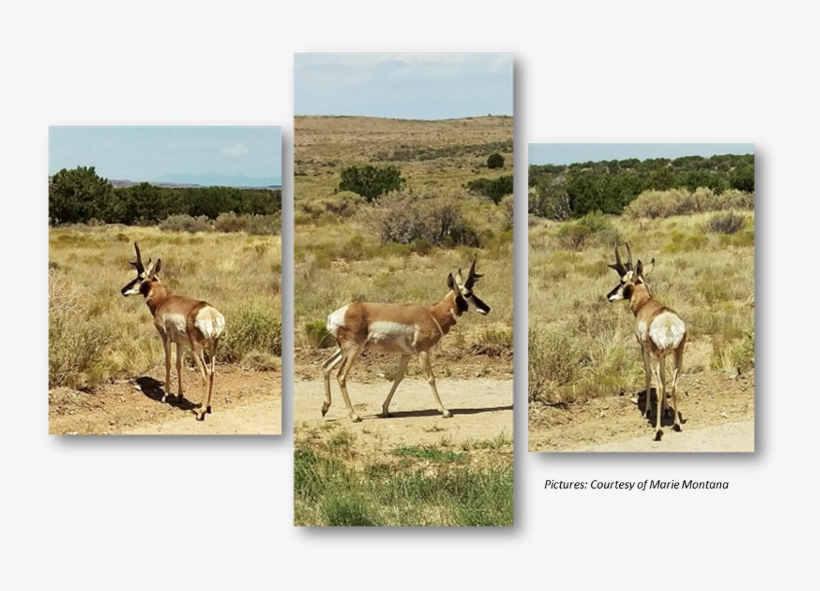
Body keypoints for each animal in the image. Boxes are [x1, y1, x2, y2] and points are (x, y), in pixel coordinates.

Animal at [121, 243, 226, 421]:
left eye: (140, 277)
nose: (123, 290)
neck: (163, 300)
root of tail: (210, 312)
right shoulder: (179, 343)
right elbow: (178, 365)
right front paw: (179, 396)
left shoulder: (165, 338)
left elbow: (168, 363)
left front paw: (165, 396)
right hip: (213, 348)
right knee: (212, 372)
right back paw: (209, 407)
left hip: (197, 350)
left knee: (205, 373)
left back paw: (201, 412)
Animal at [321, 255, 491, 422]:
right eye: (467, 293)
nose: (487, 308)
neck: (432, 315)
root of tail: (336, 315)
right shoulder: (423, 352)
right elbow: (431, 377)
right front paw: (445, 411)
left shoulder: (406, 354)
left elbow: (398, 378)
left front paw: (385, 410)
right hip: (354, 350)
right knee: (341, 375)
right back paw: (354, 415)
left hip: (343, 350)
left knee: (326, 366)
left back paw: (325, 408)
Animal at [607, 243, 686, 441]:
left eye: (622, 281)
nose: (608, 296)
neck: (646, 303)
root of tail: (667, 322)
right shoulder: (664, 356)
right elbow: (665, 378)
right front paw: (666, 410)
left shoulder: (643, 349)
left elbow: (649, 376)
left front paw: (648, 410)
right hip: (677, 355)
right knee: (673, 385)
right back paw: (676, 424)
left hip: (656, 355)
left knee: (659, 387)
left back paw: (658, 431)